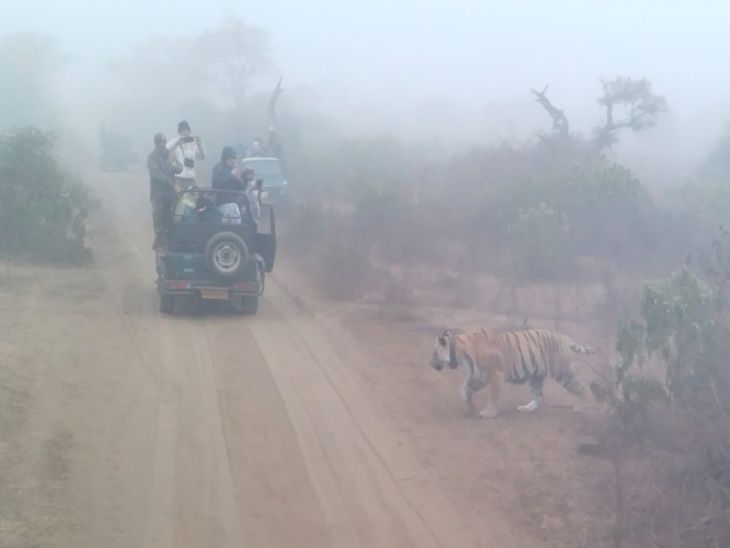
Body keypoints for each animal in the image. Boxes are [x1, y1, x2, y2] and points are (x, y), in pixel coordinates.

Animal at [430, 328, 595, 418]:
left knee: (581, 388)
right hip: (536, 377)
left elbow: (493, 394)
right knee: (539, 397)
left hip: (561, 372)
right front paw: (469, 405)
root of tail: (562, 336)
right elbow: (467, 388)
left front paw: (489, 413)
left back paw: (581, 407)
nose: (430, 363)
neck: (458, 352)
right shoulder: (479, 375)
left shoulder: (495, 373)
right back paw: (527, 408)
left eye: (434, 352)